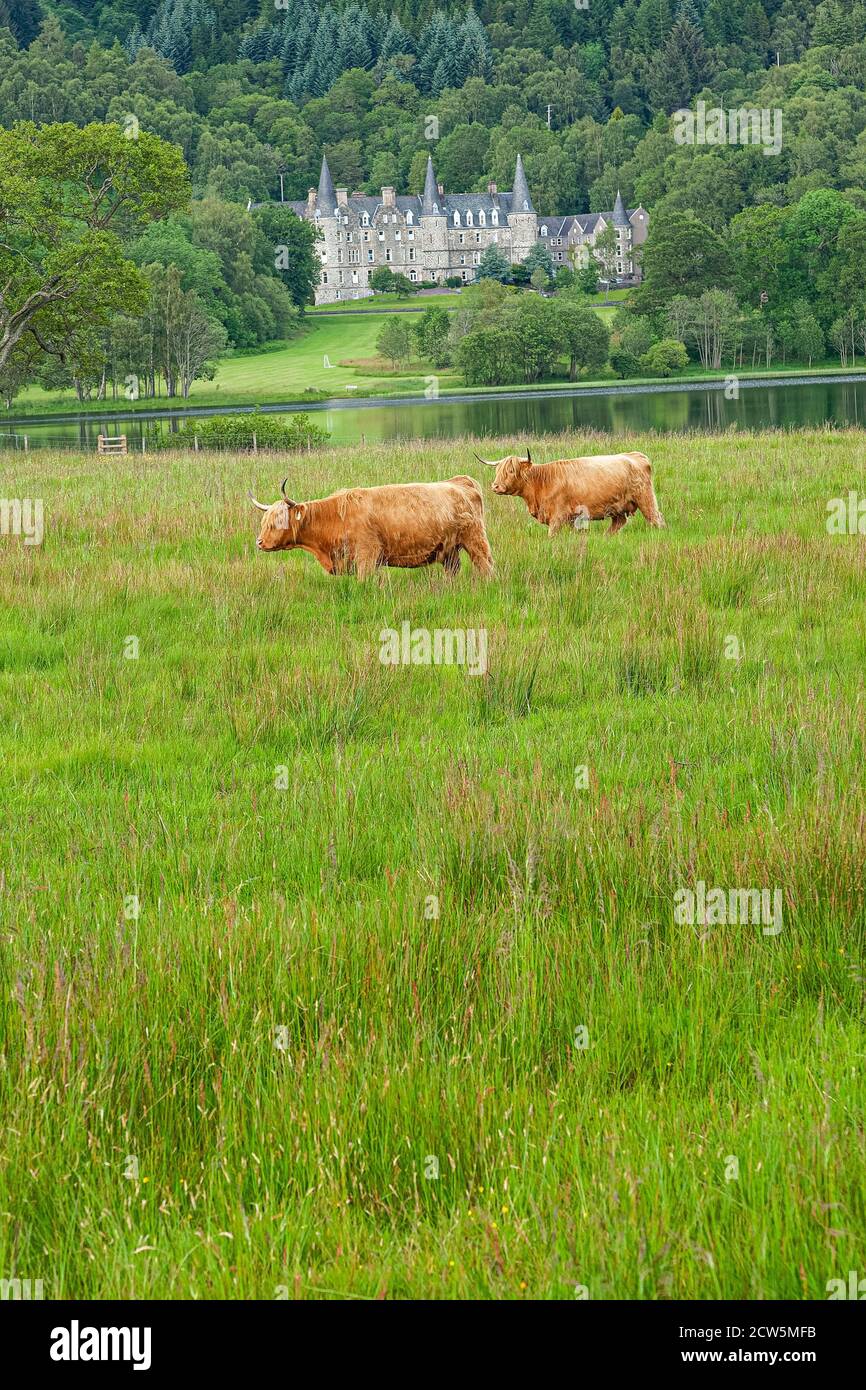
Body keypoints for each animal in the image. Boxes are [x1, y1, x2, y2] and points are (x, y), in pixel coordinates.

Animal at [248, 475, 494, 579]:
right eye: (264, 522)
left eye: (277, 522)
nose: (259, 543)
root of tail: (460, 481)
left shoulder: (367, 554)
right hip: (449, 549)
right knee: (453, 569)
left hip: (475, 539)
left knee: (485, 564)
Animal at [476, 449, 665, 535]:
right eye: (497, 470)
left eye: (511, 471)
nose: (496, 486)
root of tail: (635, 455)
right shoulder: (570, 519)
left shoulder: (558, 517)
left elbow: (551, 535)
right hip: (616, 508)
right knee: (619, 522)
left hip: (645, 498)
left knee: (656, 519)